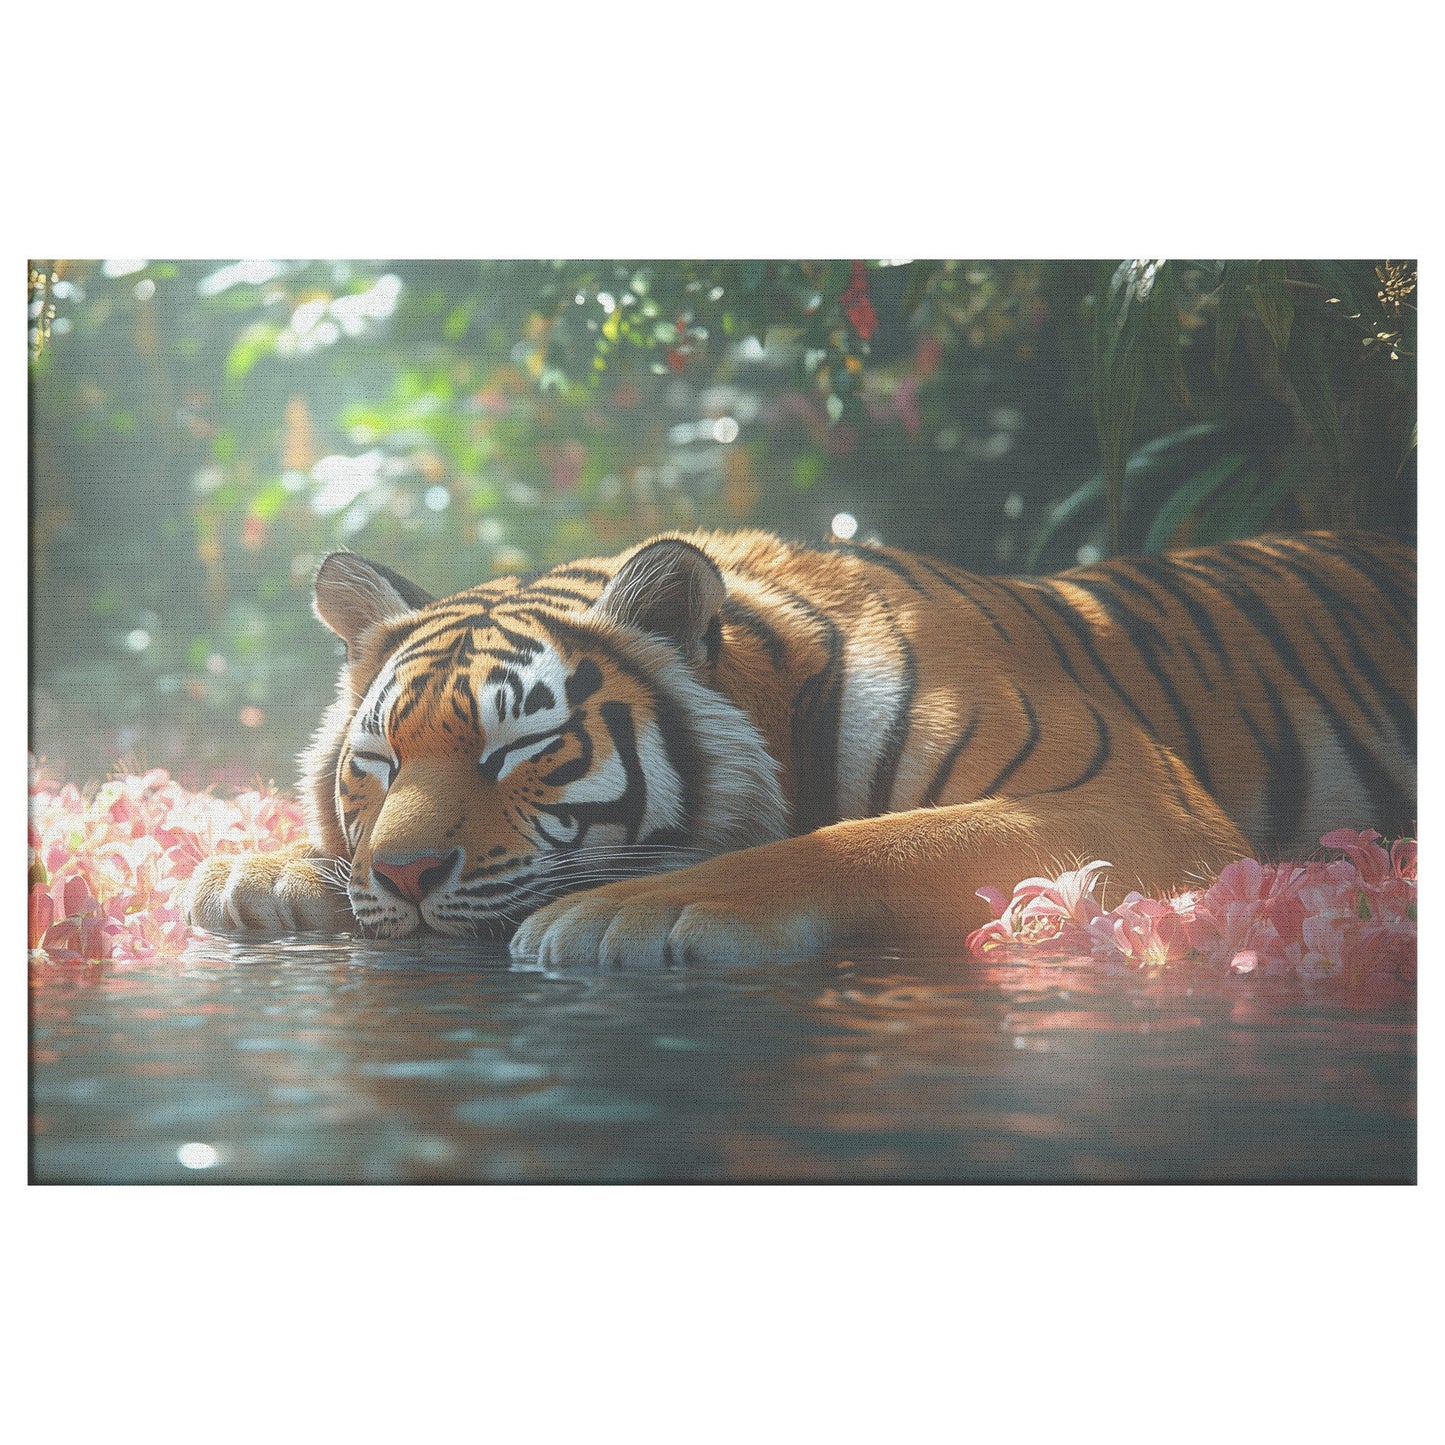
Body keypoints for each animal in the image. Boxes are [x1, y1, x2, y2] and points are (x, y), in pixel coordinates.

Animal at [184, 528, 1416, 968]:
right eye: (378, 764)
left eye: (516, 751)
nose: (401, 873)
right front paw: (258, 872)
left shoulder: (1123, 793)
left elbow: (866, 840)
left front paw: (626, 913)